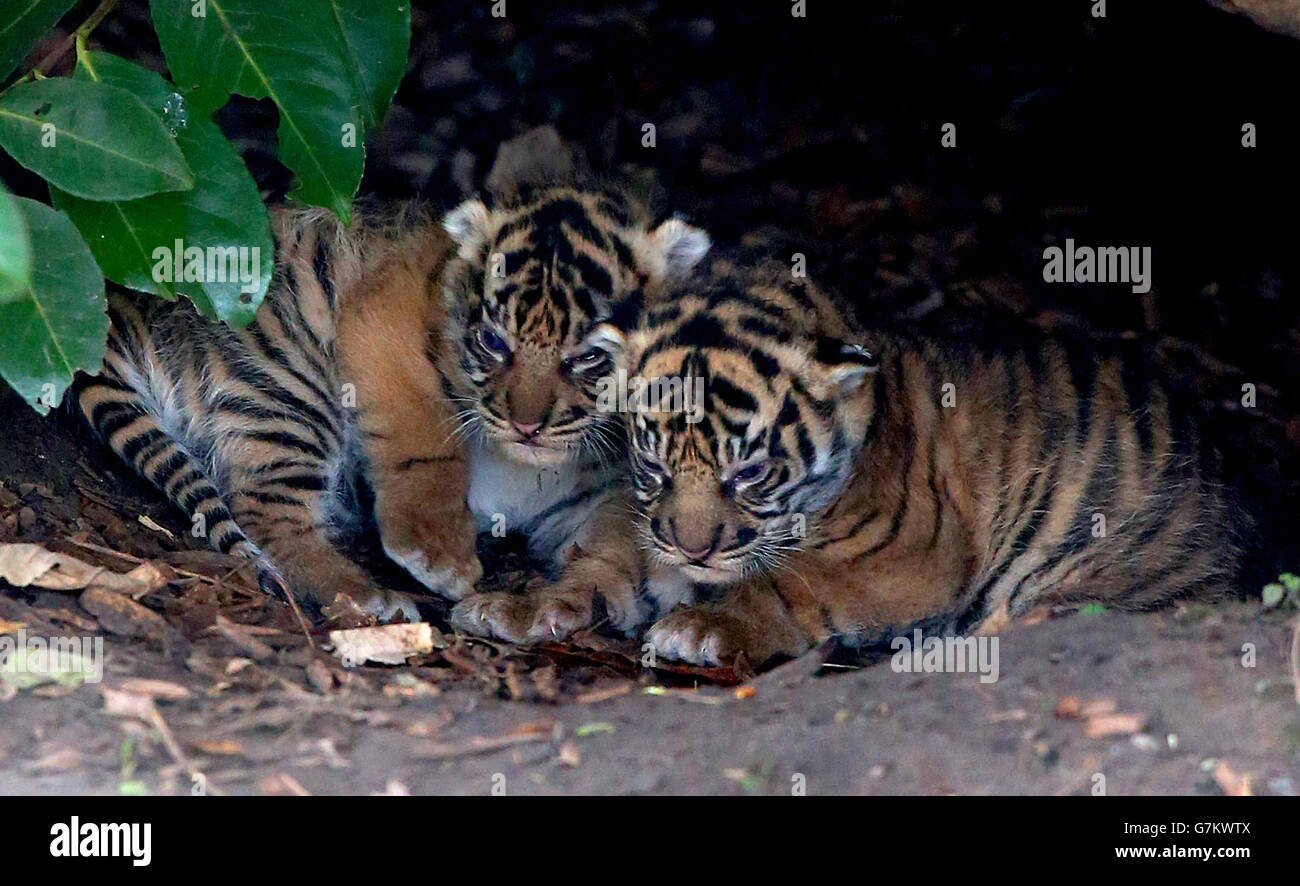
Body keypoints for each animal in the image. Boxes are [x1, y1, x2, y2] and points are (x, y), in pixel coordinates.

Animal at [75, 184, 709, 622]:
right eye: (492, 342)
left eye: (590, 357)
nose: (525, 425)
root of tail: (123, 302)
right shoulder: (384, 311)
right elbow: (423, 433)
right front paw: (439, 555)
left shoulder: (595, 497)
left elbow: (610, 547)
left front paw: (552, 607)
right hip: (292, 388)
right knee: (267, 512)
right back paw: (369, 596)